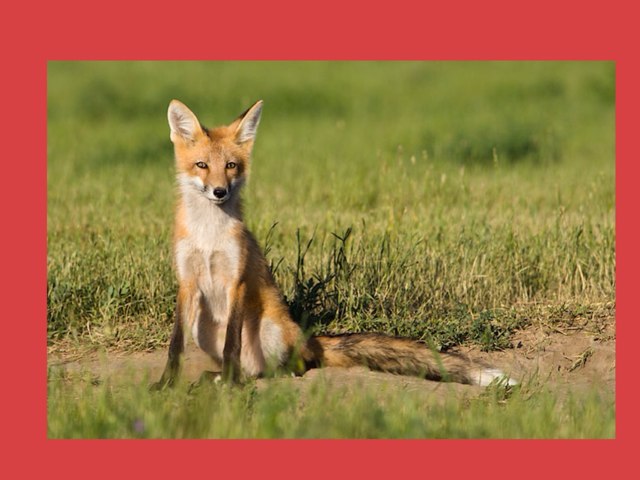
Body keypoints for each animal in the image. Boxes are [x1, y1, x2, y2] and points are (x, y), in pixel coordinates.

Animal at [153, 99, 516, 389]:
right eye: (201, 165)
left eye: (231, 166)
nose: (220, 192)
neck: (208, 236)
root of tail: (306, 338)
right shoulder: (187, 281)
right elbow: (175, 345)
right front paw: (166, 384)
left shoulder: (236, 281)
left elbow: (231, 343)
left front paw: (229, 384)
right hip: (203, 327)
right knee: (250, 367)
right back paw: (216, 377)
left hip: (270, 330)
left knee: (292, 365)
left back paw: (262, 375)